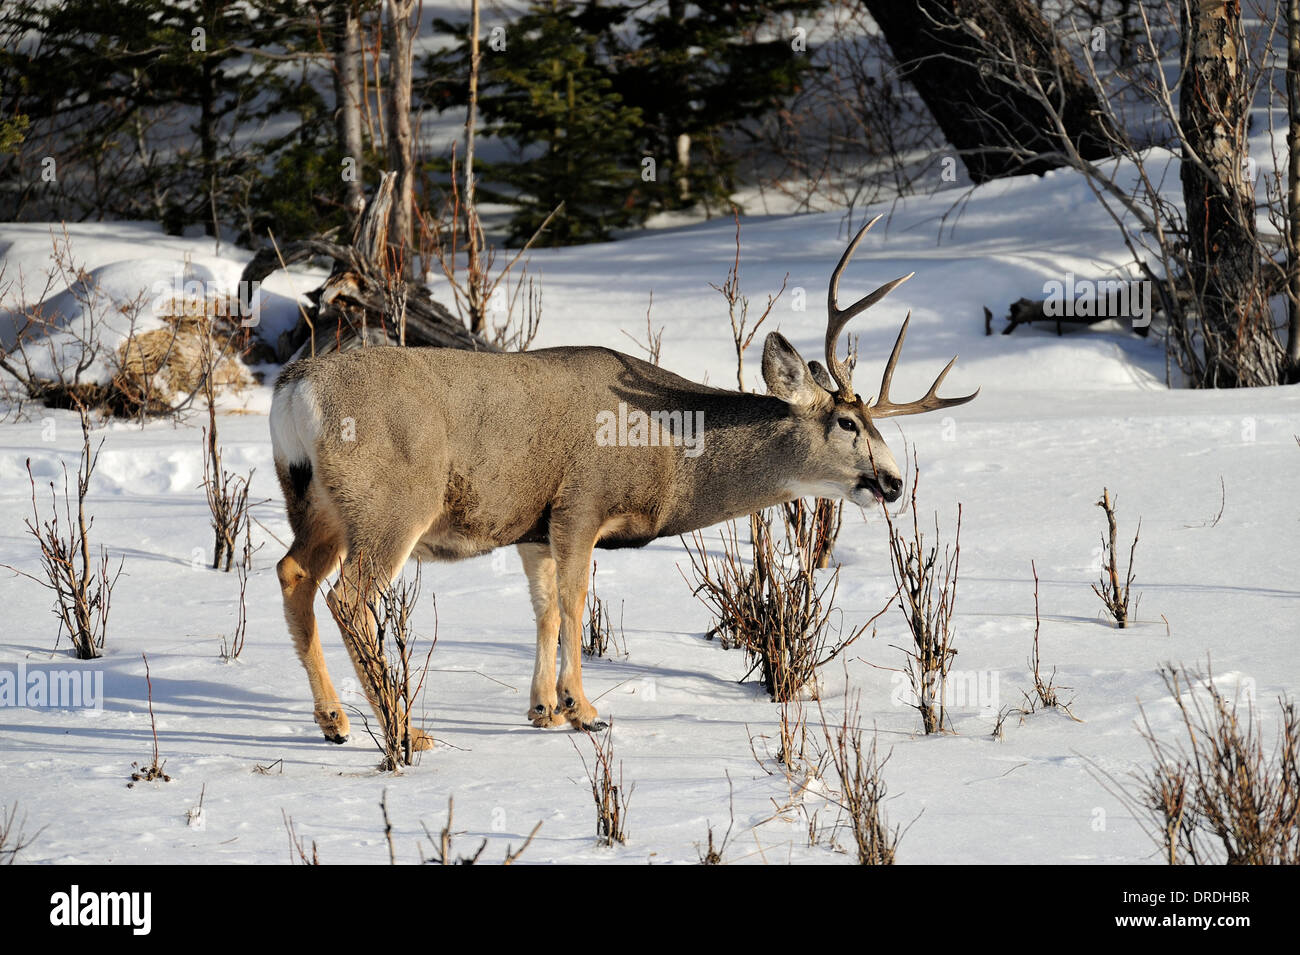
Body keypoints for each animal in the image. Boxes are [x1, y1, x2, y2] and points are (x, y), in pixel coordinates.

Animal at [269, 215, 977, 747]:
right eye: (846, 421)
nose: (893, 482)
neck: (670, 453)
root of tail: (296, 387)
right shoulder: (581, 504)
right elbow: (574, 604)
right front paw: (584, 711)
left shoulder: (534, 527)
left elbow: (543, 610)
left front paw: (543, 711)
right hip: (391, 501)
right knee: (349, 597)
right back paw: (405, 731)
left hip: (314, 500)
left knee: (292, 572)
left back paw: (334, 722)